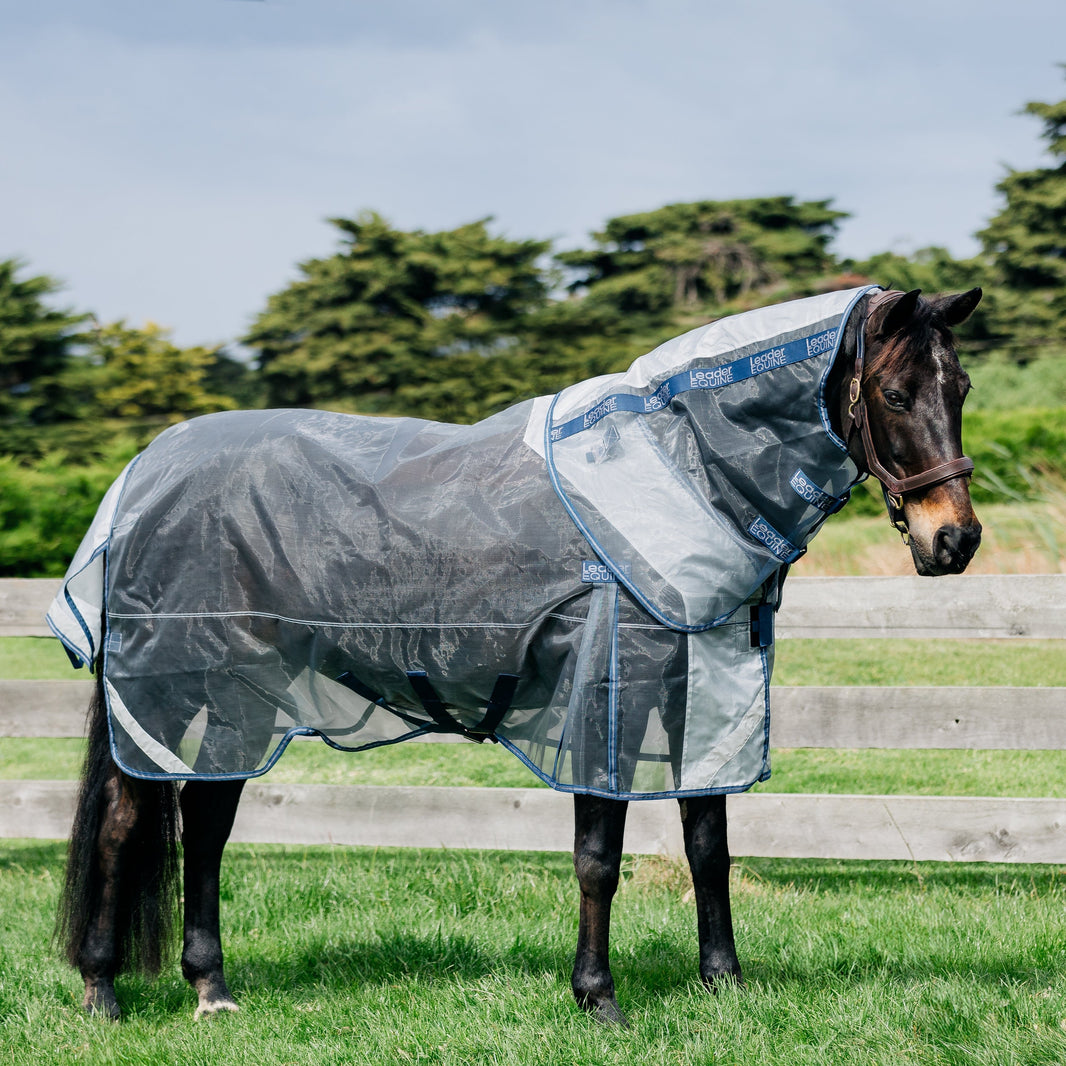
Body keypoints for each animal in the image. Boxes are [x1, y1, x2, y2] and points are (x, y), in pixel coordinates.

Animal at [51, 285, 982, 1027]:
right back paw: (103, 993)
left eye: (962, 389)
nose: (956, 540)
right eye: (895, 392)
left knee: (206, 826)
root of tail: (142, 475)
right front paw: (598, 999)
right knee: (130, 821)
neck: (683, 469)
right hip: (172, 690)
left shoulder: (699, 691)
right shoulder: (604, 702)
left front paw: (725, 985)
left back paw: (211, 989)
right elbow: (598, 860)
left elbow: (708, 846)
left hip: (241, 699)